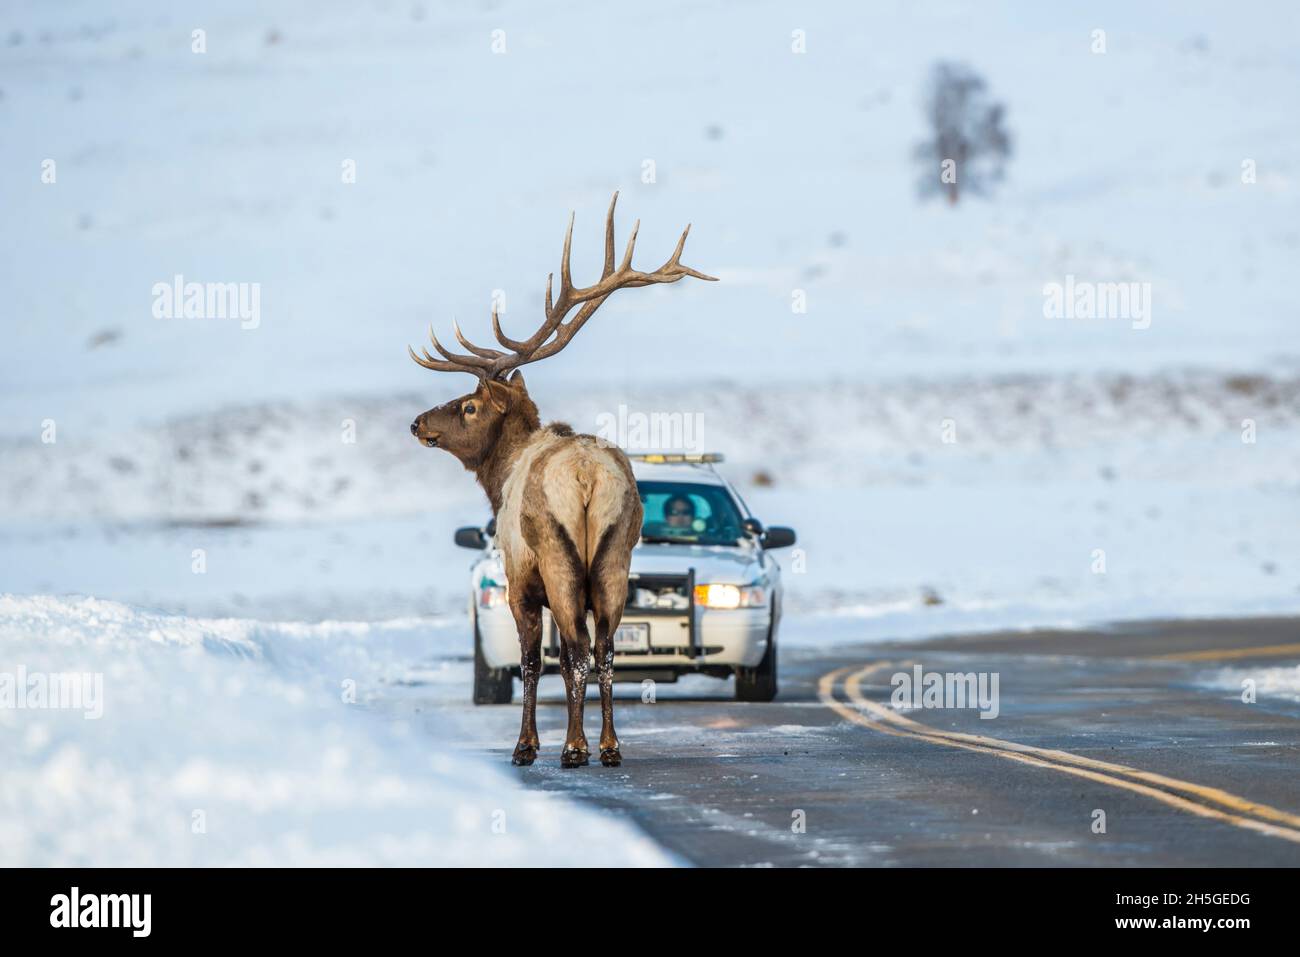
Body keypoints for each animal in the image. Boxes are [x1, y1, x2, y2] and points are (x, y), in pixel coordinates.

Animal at [408, 193, 716, 768]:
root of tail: (586, 476)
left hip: (558, 557)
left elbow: (532, 661)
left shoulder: (520, 582)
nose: (417, 423)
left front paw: (527, 745)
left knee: (574, 651)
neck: (500, 477)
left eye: (469, 406)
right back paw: (610, 747)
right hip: (616, 557)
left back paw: (573, 747)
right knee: (605, 650)